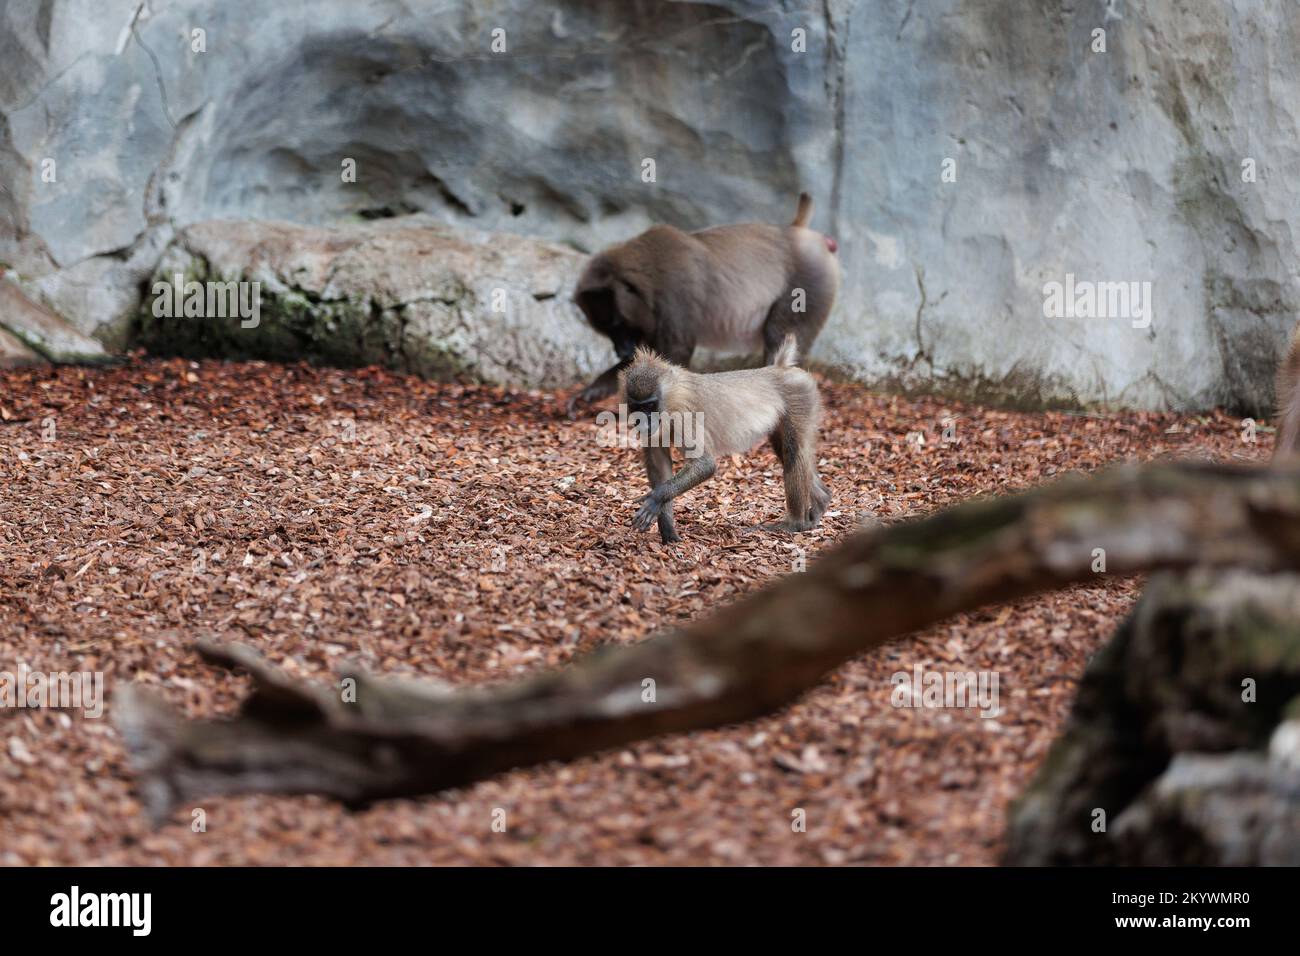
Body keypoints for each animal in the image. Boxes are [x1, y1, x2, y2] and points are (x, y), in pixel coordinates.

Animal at [568, 191, 840, 416]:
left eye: (618, 324)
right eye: (608, 331)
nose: (622, 351)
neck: (650, 274)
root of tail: (799, 231)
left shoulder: (674, 297)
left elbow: (674, 353)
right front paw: (589, 394)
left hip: (807, 287)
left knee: (779, 336)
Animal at [619, 334, 830, 543]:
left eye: (649, 406)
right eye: (637, 407)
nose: (642, 422)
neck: (670, 398)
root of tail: (781, 369)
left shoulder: (683, 415)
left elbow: (705, 464)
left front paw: (656, 498)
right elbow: (660, 464)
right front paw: (668, 531)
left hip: (801, 399)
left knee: (794, 452)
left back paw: (795, 524)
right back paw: (821, 501)